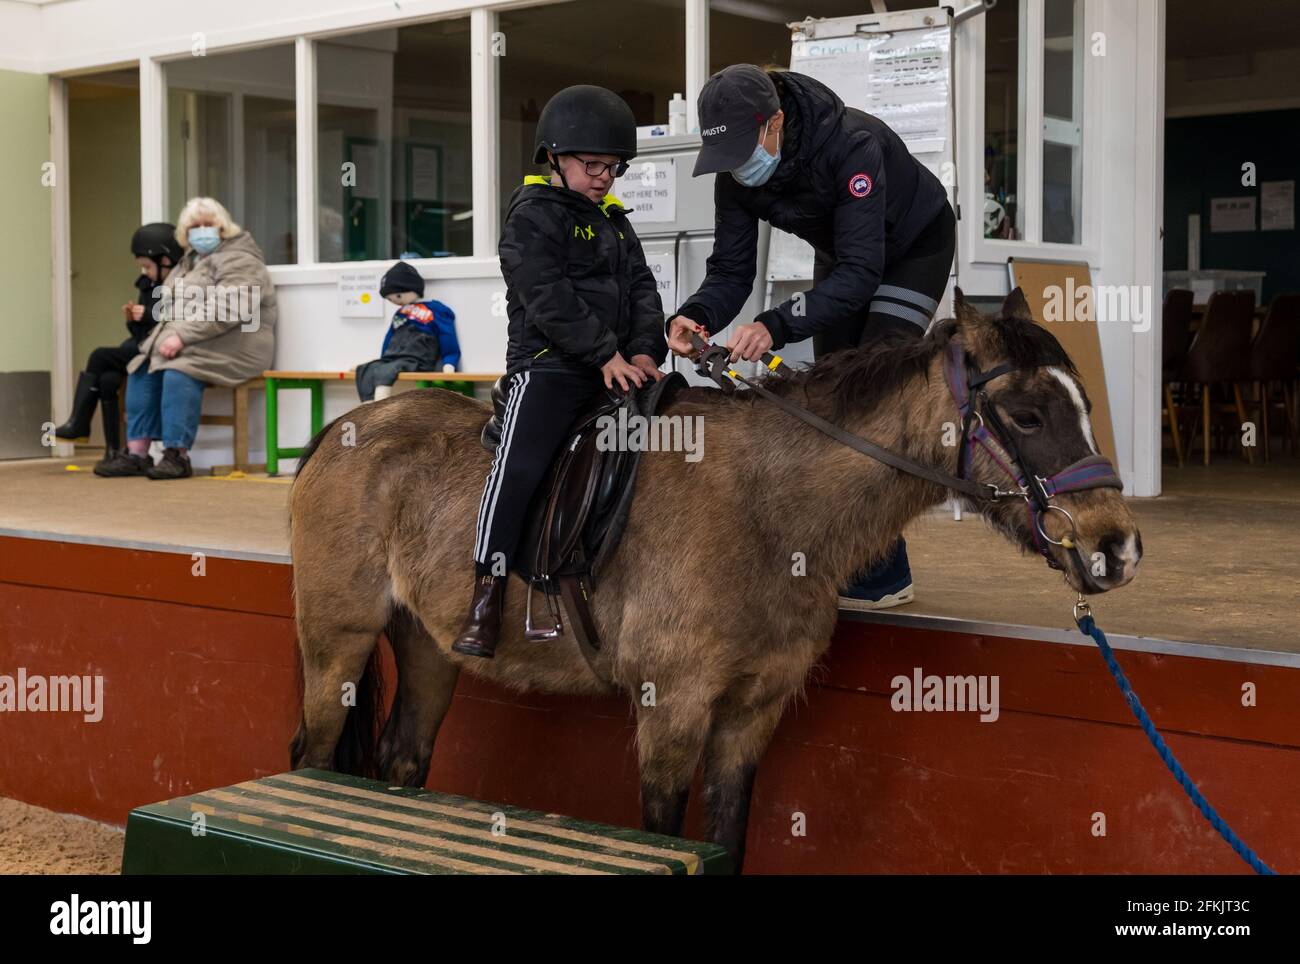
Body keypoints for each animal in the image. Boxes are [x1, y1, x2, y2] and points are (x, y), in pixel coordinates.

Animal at [287, 289, 1142, 872]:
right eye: (1026, 415)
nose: (1117, 547)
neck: (768, 510)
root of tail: (341, 430)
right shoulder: (672, 712)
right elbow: (663, 835)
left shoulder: (749, 716)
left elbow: (726, 841)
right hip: (337, 645)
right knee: (312, 756)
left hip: (427, 647)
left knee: (400, 761)